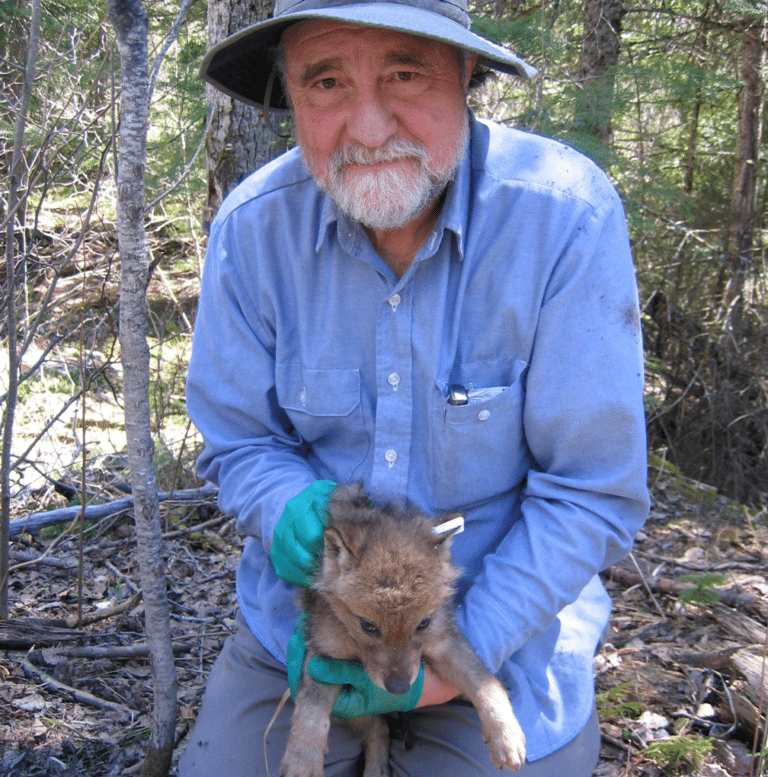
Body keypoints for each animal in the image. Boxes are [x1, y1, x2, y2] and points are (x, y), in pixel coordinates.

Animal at [279, 483, 526, 777]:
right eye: (368, 626)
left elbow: (483, 682)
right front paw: (302, 759)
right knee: (378, 729)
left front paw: (506, 734)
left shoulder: (443, 642)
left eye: (423, 623)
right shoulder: (323, 659)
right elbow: (311, 714)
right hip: (355, 707)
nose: (398, 690)